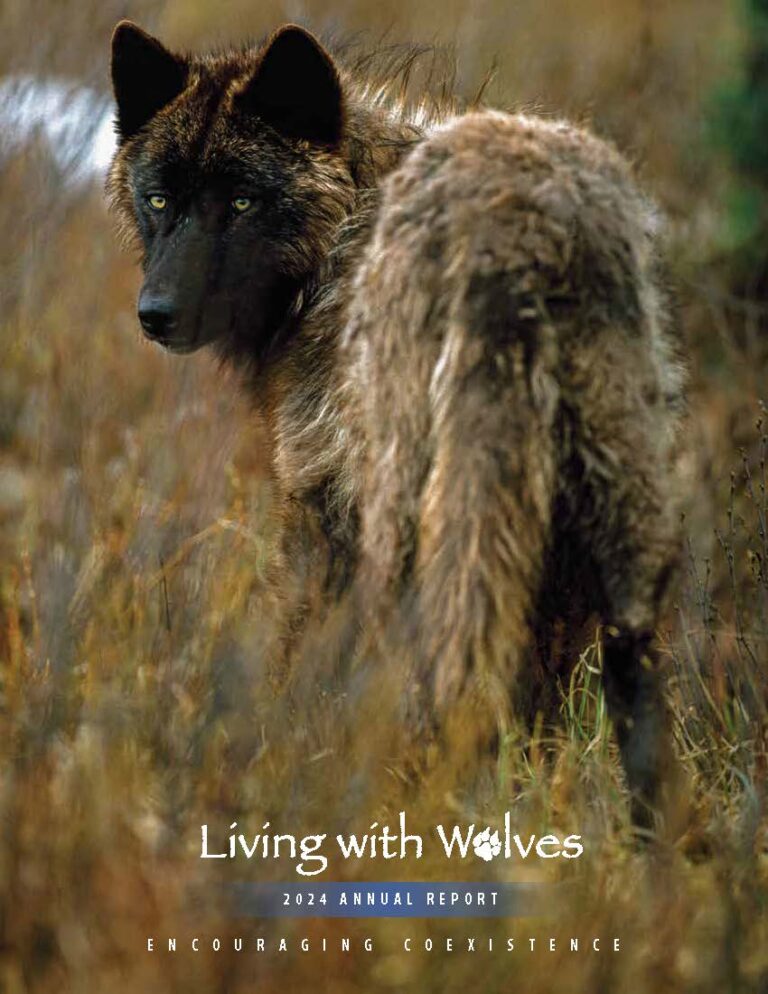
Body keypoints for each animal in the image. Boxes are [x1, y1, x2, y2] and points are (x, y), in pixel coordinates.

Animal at [108, 21, 685, 829]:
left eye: (244, 202)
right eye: (160, 198)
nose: (155, 314)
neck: (344, 232)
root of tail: (523, 229)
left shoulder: (322, 509)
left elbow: (295, 648)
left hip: (417, 523)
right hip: (621, 529)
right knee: (623, 681)